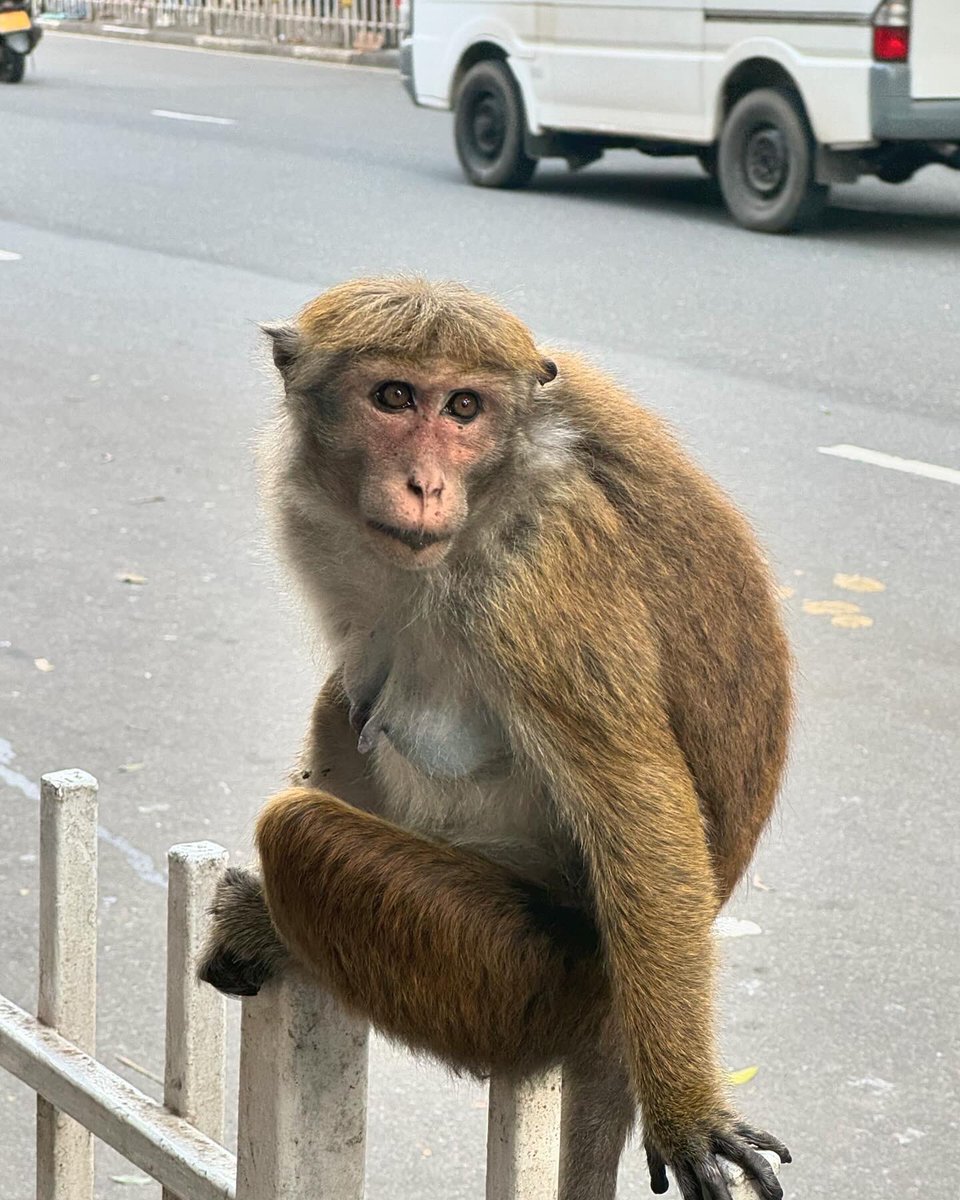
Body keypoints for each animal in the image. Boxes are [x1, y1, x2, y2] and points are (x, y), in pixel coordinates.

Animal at [199, 276, 792, 1200]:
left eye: (464, 408)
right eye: (394, 396)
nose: (425, 484)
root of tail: (607, 1019)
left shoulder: (538, 578)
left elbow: (639, 806)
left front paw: (689, 1114)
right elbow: (353, 695)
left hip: (521, 981)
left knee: (301, 833)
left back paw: (272, 913)